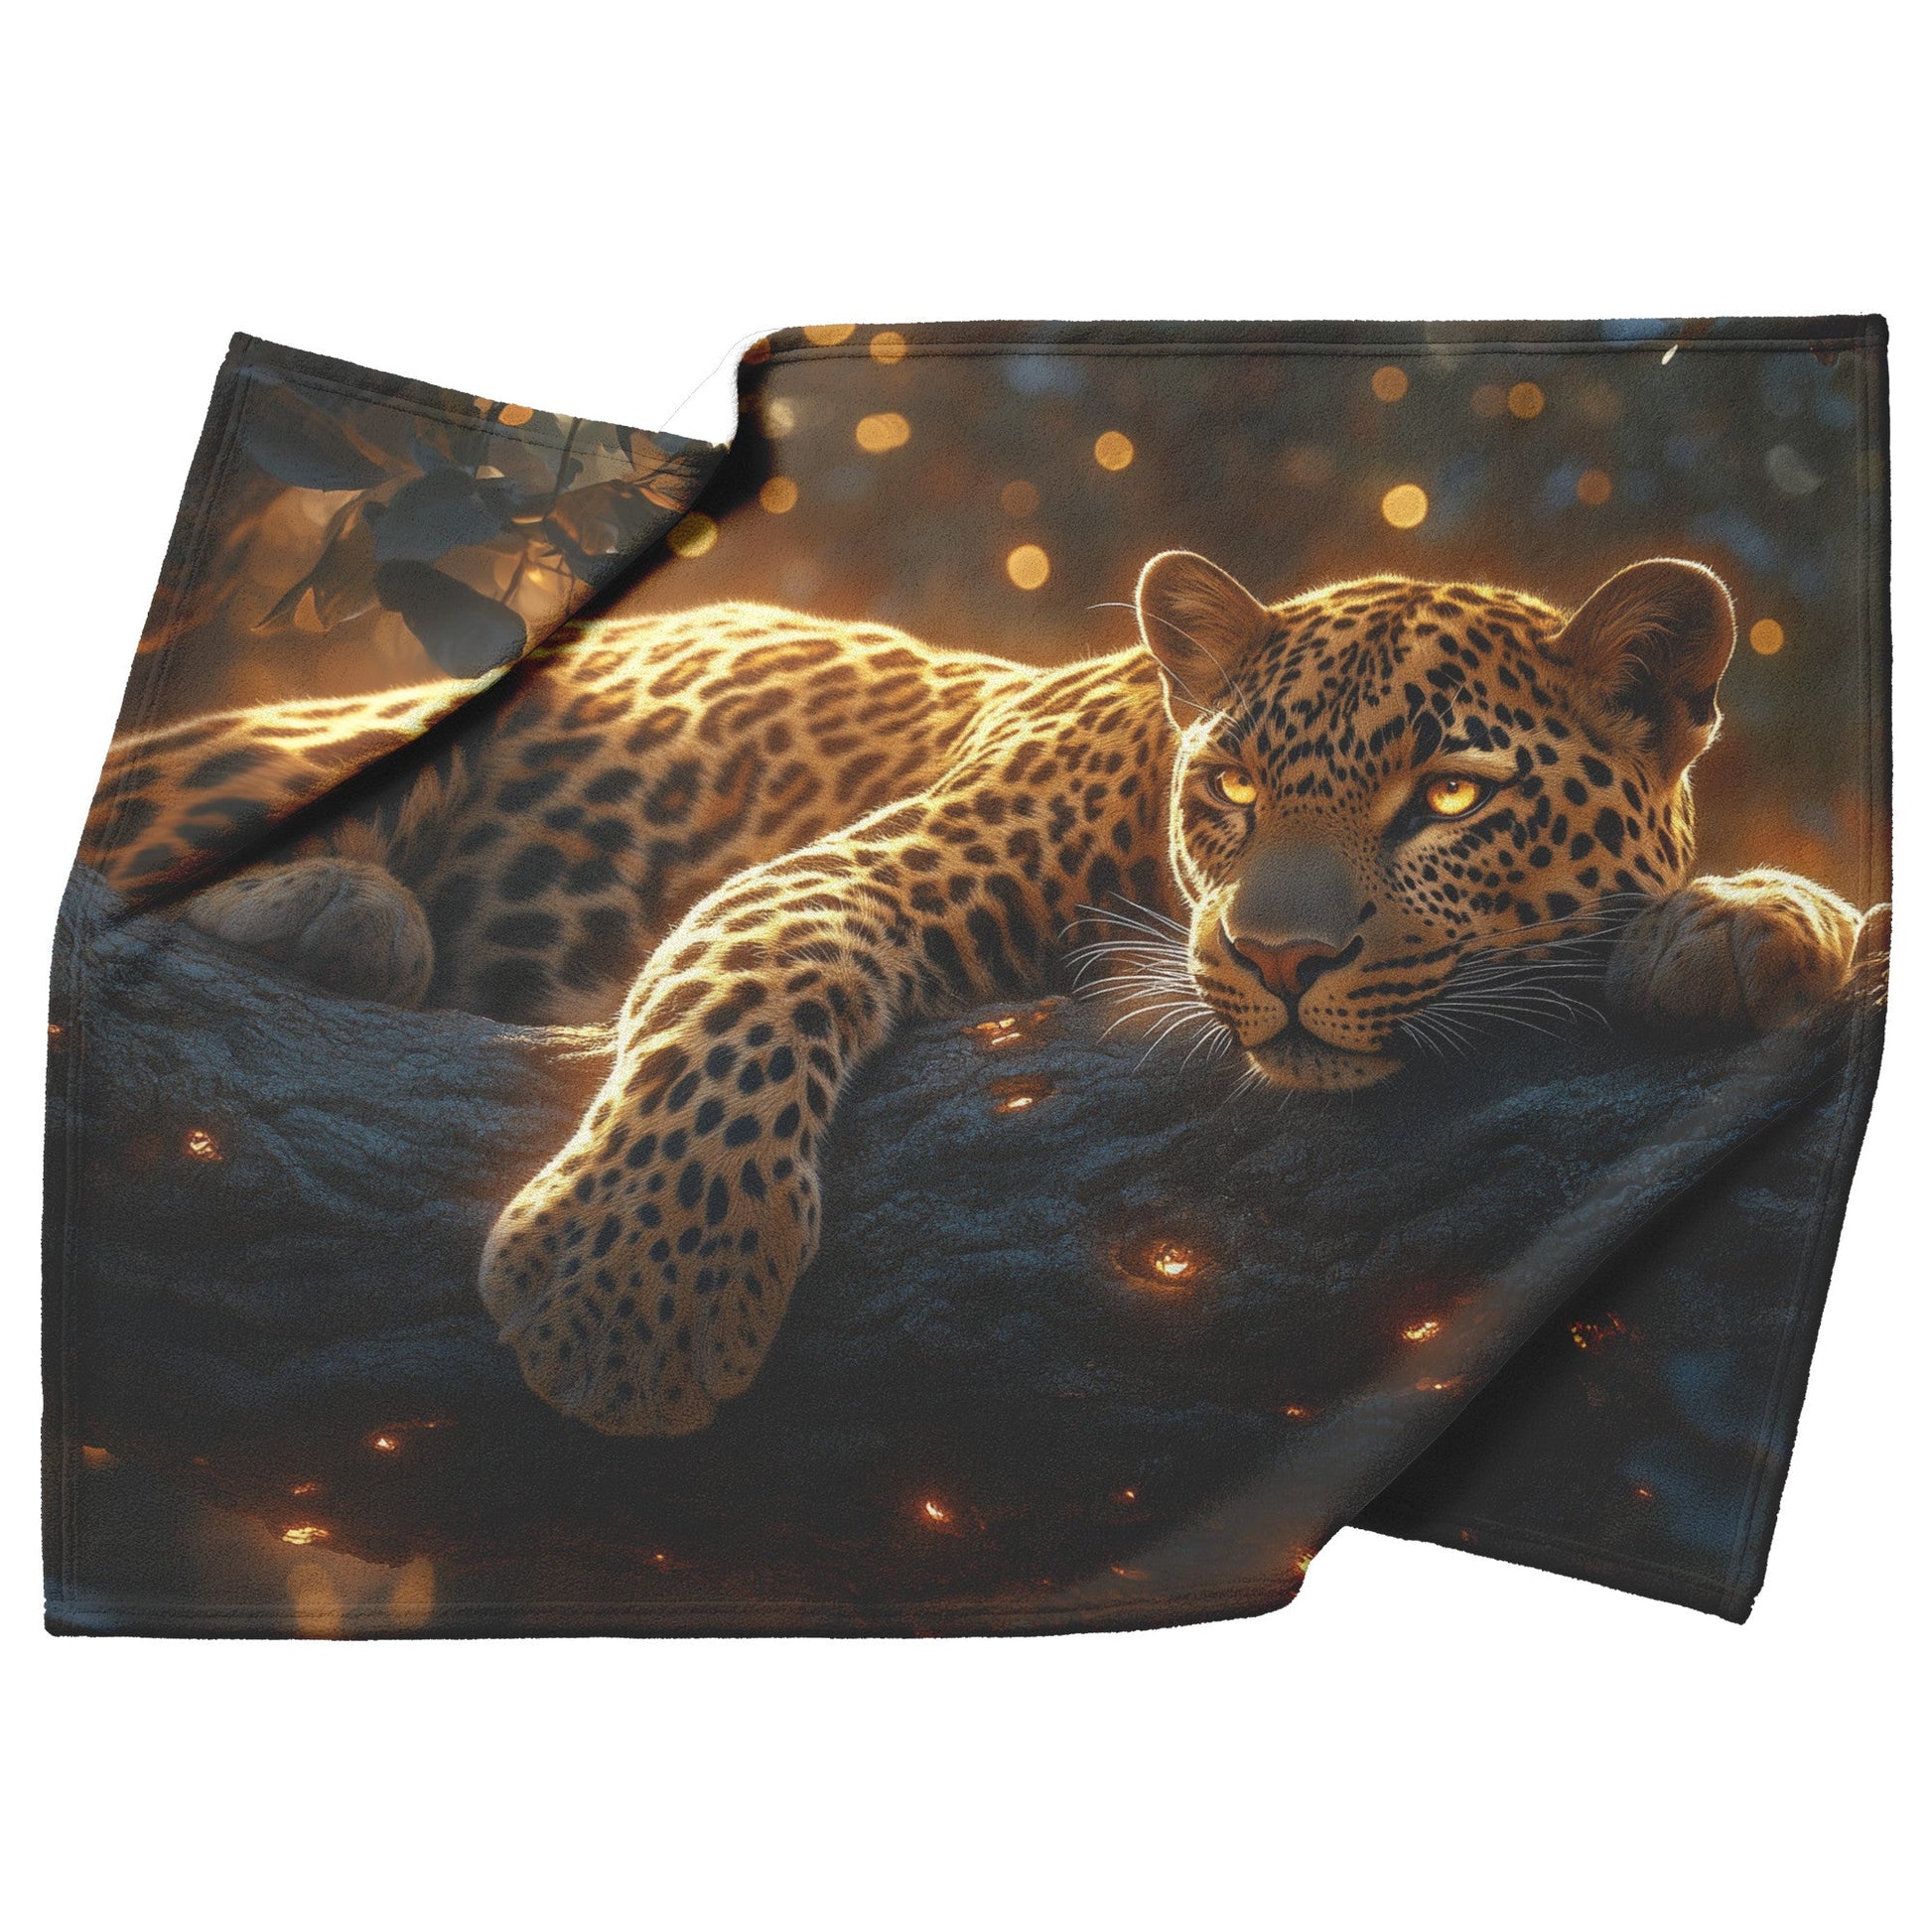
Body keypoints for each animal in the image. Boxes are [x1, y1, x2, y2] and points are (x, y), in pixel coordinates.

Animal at [82, 551, 1882, 1438]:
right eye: (1231, 789)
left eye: (1445, 797)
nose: (1280, 956)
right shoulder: (853, 870)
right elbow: (746, 994)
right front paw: (633, 1287)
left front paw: (1748, 918)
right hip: (328, 743)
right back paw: (336, 907)